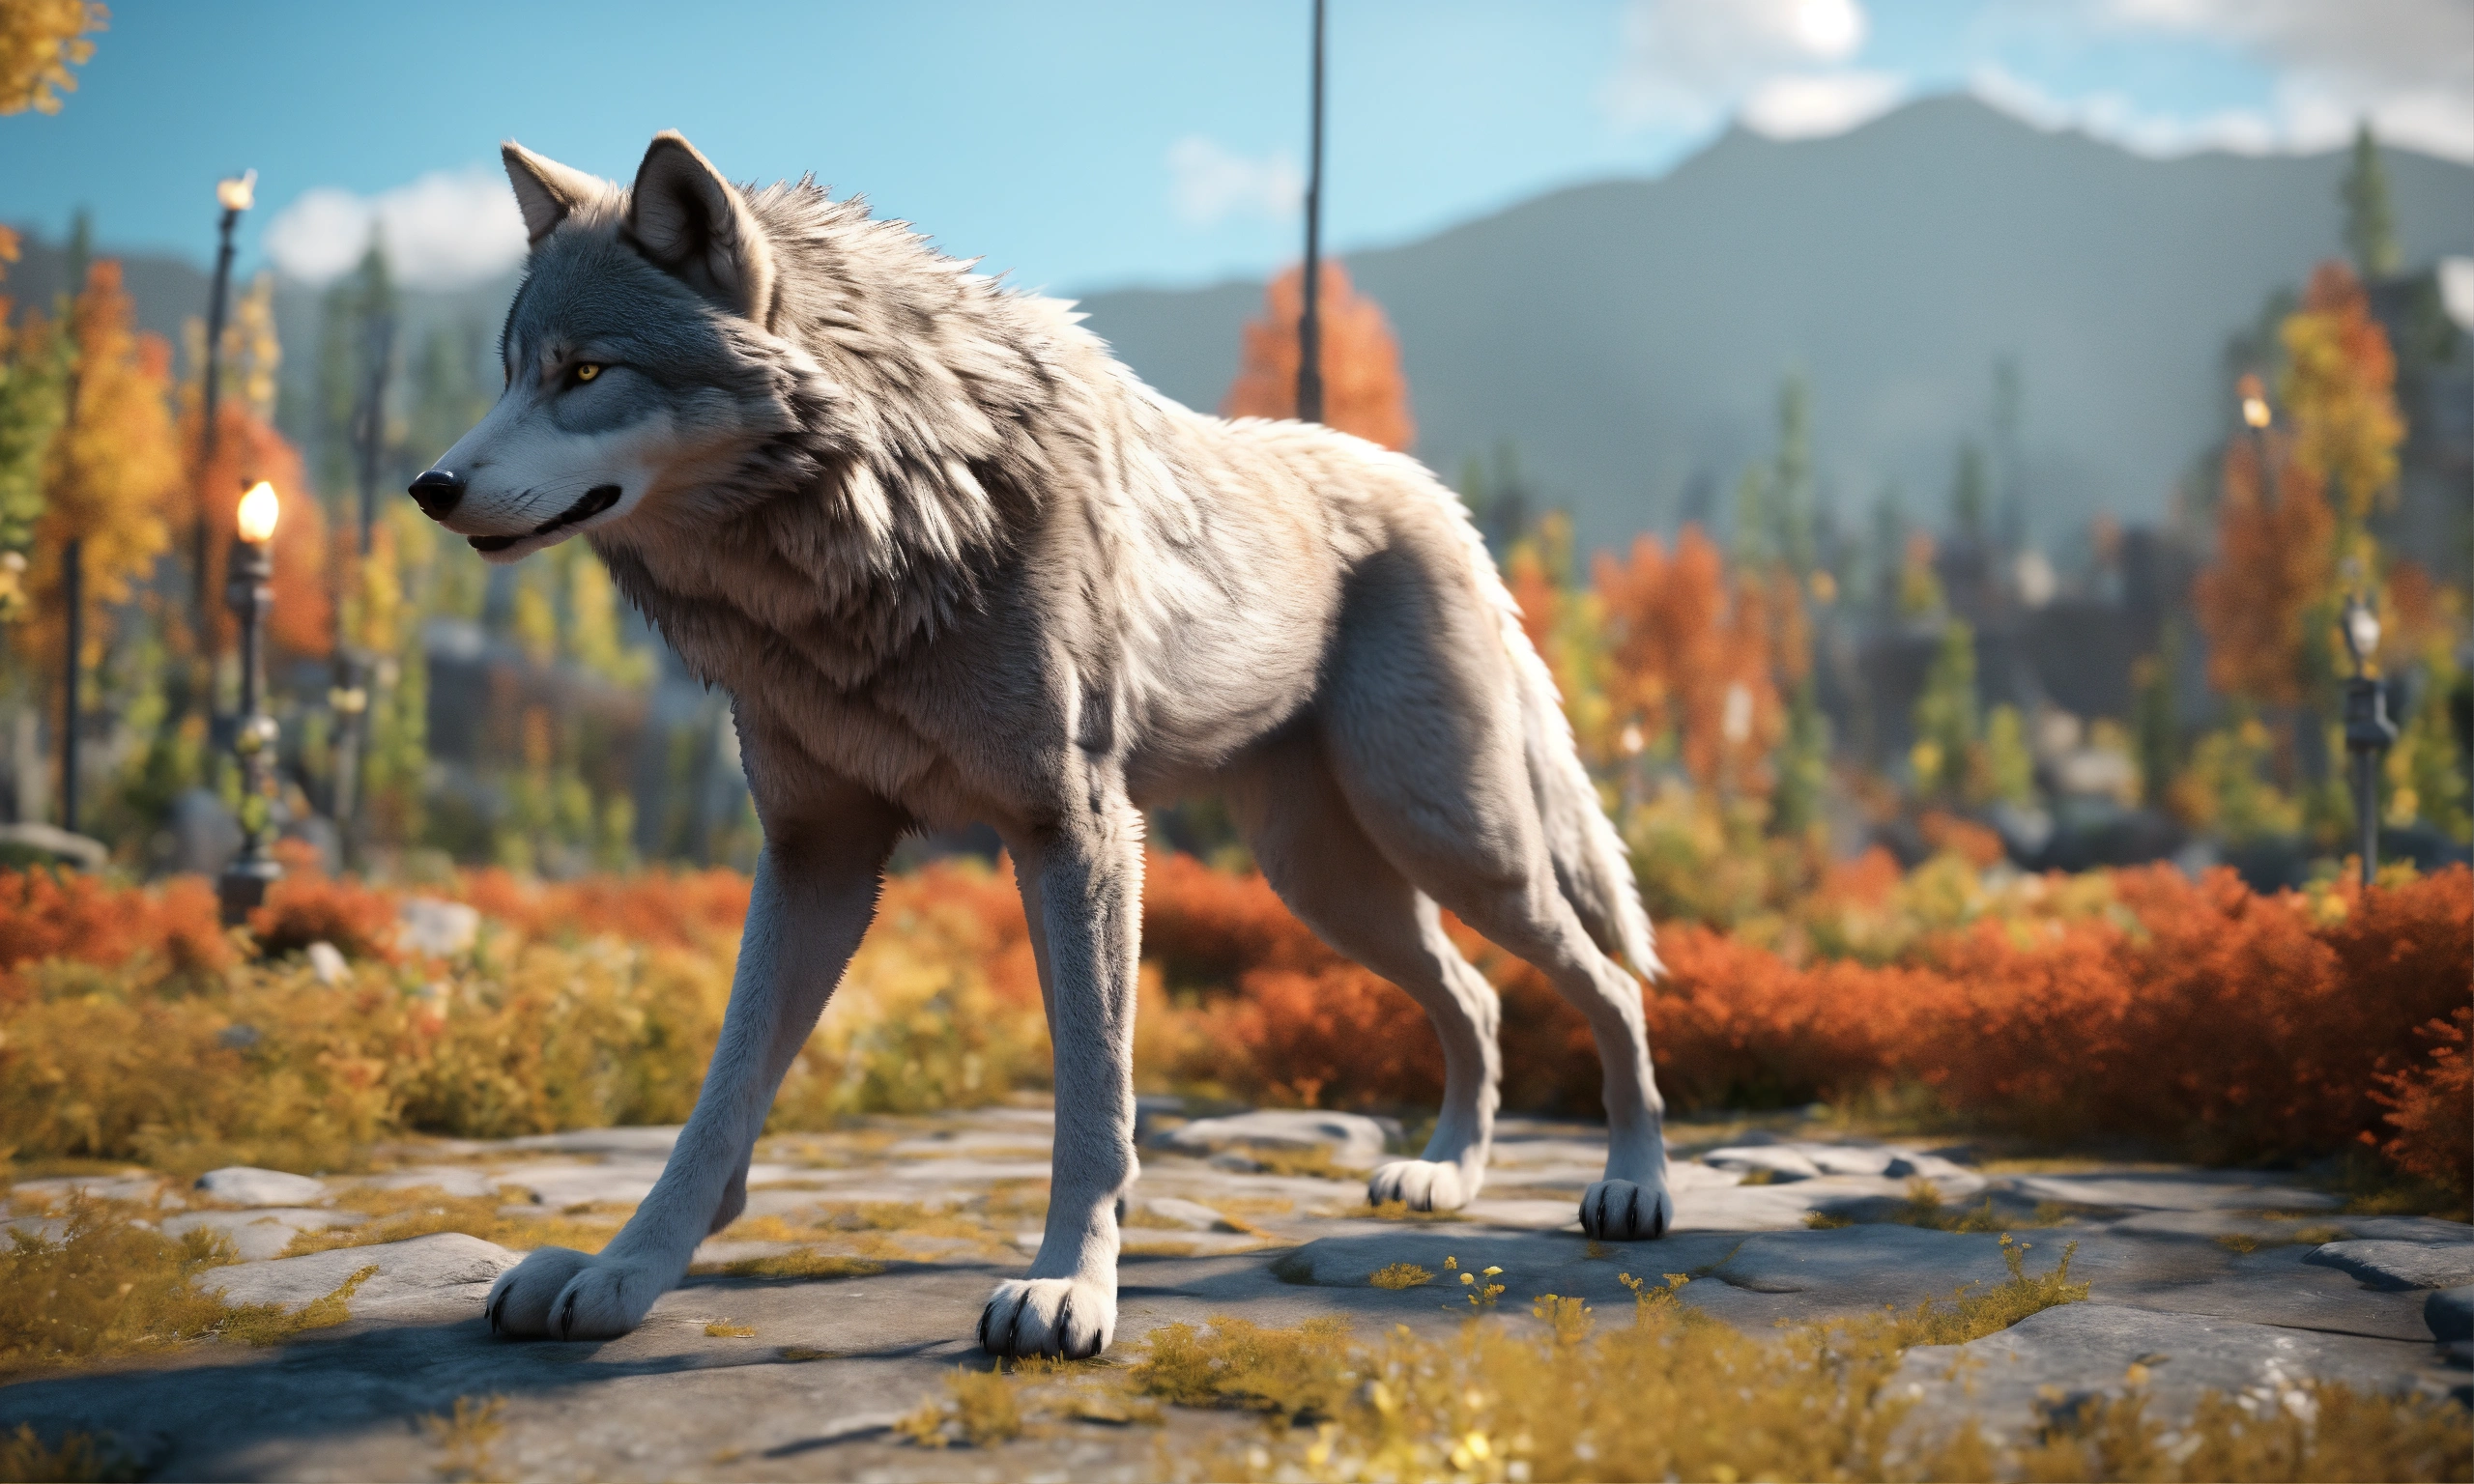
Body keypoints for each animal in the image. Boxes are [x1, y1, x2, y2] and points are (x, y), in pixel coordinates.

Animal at [413, 131, 1674, 1359]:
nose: (429, 485)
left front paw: (1070, 1286)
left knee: (1606, 981)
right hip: (1327, 883)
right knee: (1478, 997)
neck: (890, 522)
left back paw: (1633, 1188)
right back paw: (1447, 1177)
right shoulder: (817, 857)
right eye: (512, 371)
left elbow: (1093, 1102)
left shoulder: (1075, 835)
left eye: (586, 372)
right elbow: (717, 1102)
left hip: (1452, 843)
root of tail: (1436, 496)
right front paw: (621, 1272)